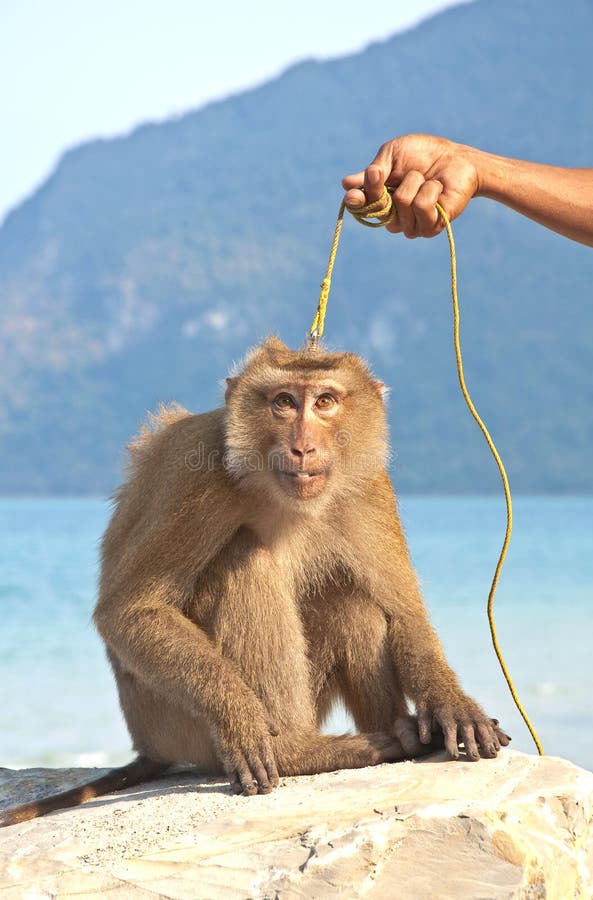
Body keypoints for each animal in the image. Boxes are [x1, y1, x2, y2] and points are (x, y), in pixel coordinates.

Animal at [0, 337, 509, 827]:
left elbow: (402, 612)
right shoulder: (201, 472)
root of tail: (151, 747)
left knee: (351, 599)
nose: (303, 447)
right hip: (178, 723)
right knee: (243, 557)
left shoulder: (369, 484)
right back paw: (301, 753)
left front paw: (451, 704)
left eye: (325, 401)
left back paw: (402, 733)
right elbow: (131, 611)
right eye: (284, 401)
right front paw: (240, 718)